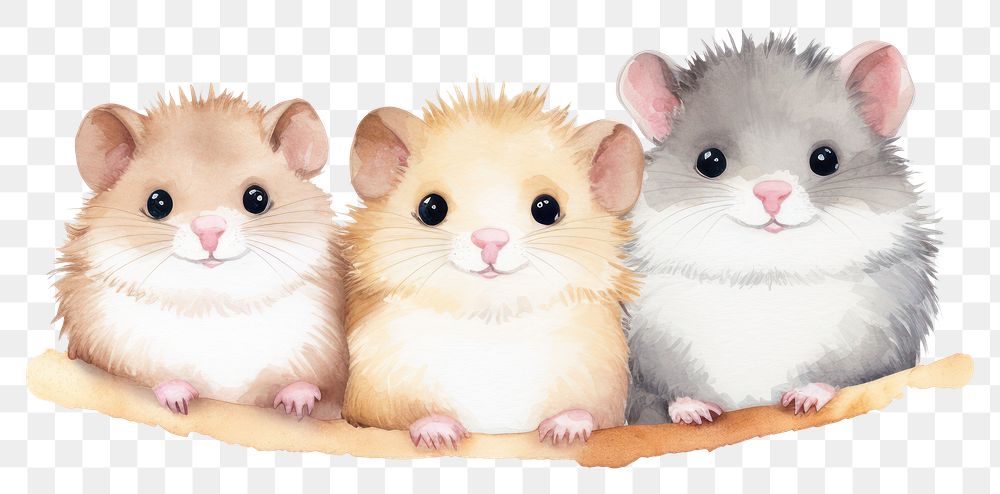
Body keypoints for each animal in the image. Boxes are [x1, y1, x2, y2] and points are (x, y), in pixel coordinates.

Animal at [55, 87, 347, 419]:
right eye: (158, 203)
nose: (209, 231)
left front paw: (297, 403)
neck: (212, 303)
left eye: (257, 198)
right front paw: (178, 398)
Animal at [340, 86, 645, 448]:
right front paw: (439, 434)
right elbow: (396, 417)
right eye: (431, 208)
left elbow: (589, 414)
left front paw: (565, 431)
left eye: (547, 208)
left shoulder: (605, 386)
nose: (490, 240)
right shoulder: (368, 391)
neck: (491, 323)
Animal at [618, 33, 938, 424]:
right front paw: (694, 412)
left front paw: (805, 398)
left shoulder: (887, 331)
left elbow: (849, 376)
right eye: (709, 161)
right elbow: (660, 389)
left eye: (826, 159)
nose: (772, 193)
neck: (767, 270)